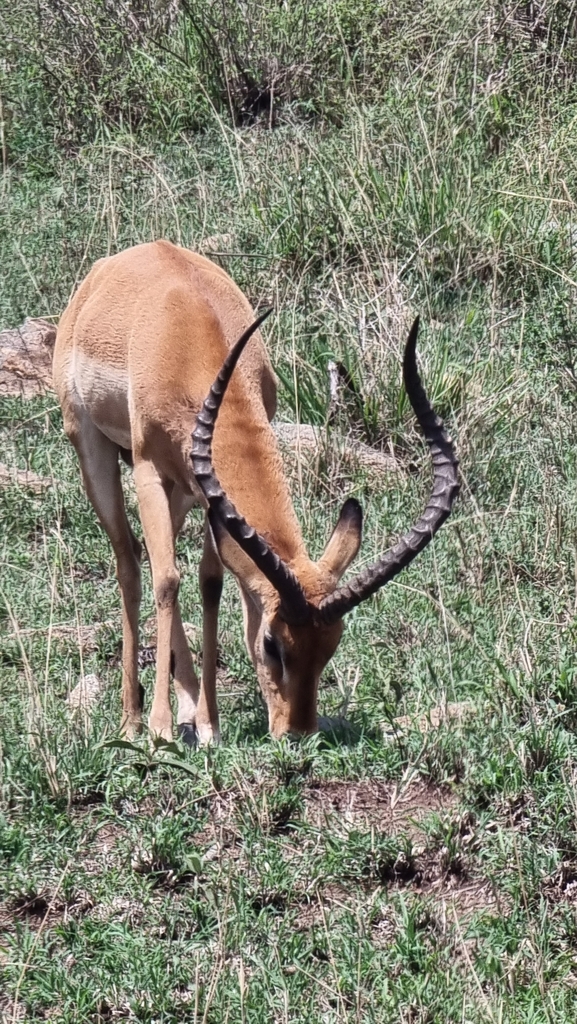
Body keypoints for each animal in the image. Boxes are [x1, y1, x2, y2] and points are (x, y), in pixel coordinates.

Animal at [53, 241, 458, 744]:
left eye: (332, 643)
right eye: (272, 643)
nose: (297, 732)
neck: (187, 334)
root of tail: (111, 267)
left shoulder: (209, 491)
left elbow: (210, 582)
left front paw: (208, 725)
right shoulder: (149, 469)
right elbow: (168, 580)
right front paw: (160, 729)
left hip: (183, 491)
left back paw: (187, 704)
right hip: (95, 449)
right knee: (130, 560)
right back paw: (132, 720)